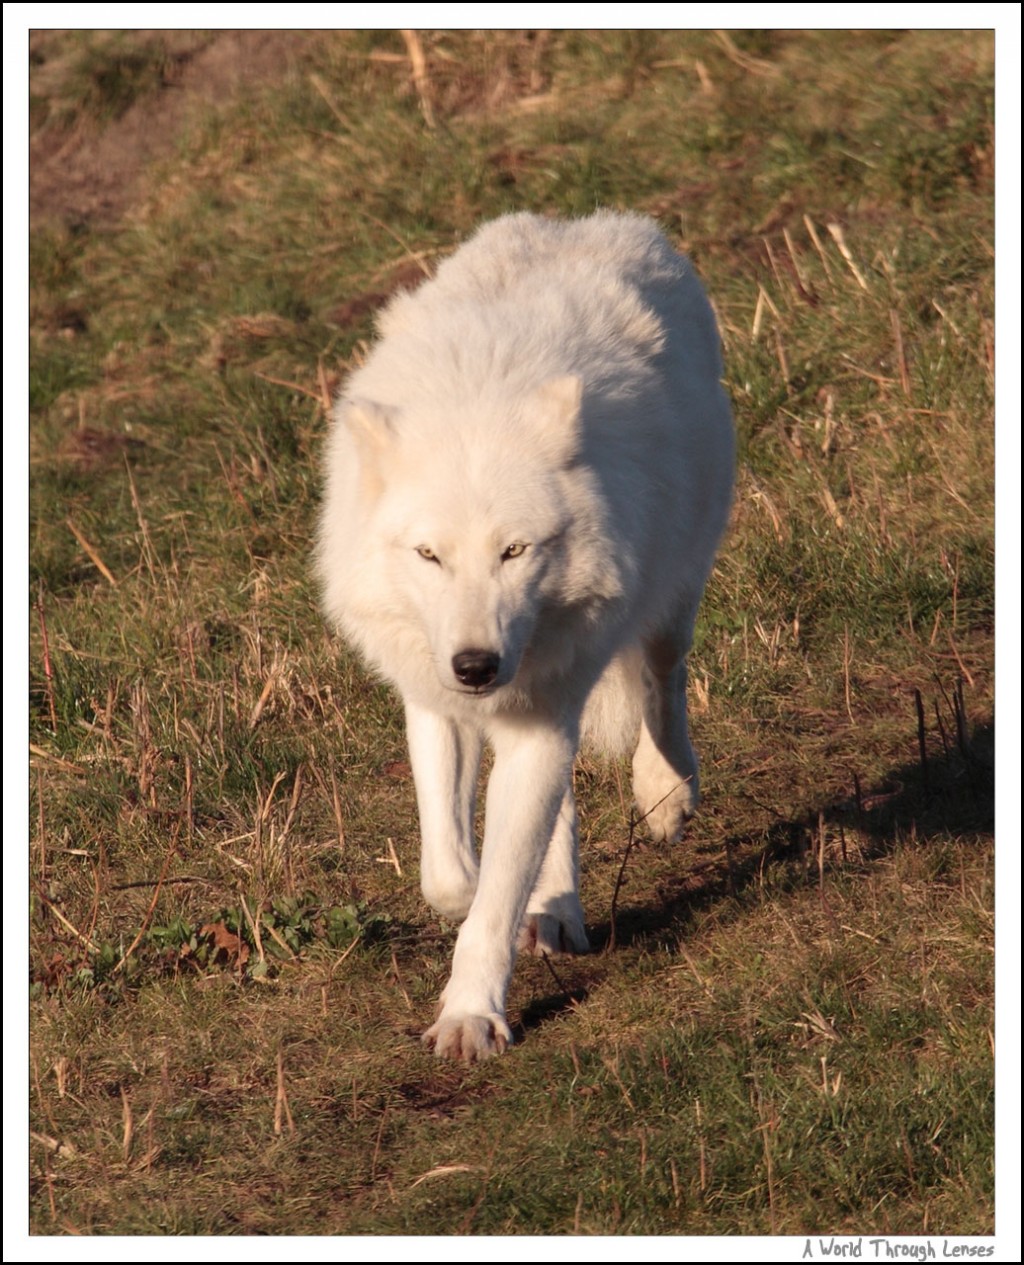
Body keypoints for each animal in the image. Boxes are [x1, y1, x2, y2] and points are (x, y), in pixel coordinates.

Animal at [316, 211, 734, 1061]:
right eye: (429, 555)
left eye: (514, 551)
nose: (477, 665)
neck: (477, 391)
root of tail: (593, 220)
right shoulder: (435, 698)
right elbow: (451, 874)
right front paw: (493, 900)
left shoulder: (539, 710)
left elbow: (497, 886)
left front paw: (471, 1015)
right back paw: (557, 908)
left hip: (671, 590)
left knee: (661, 679)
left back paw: (665, 794)